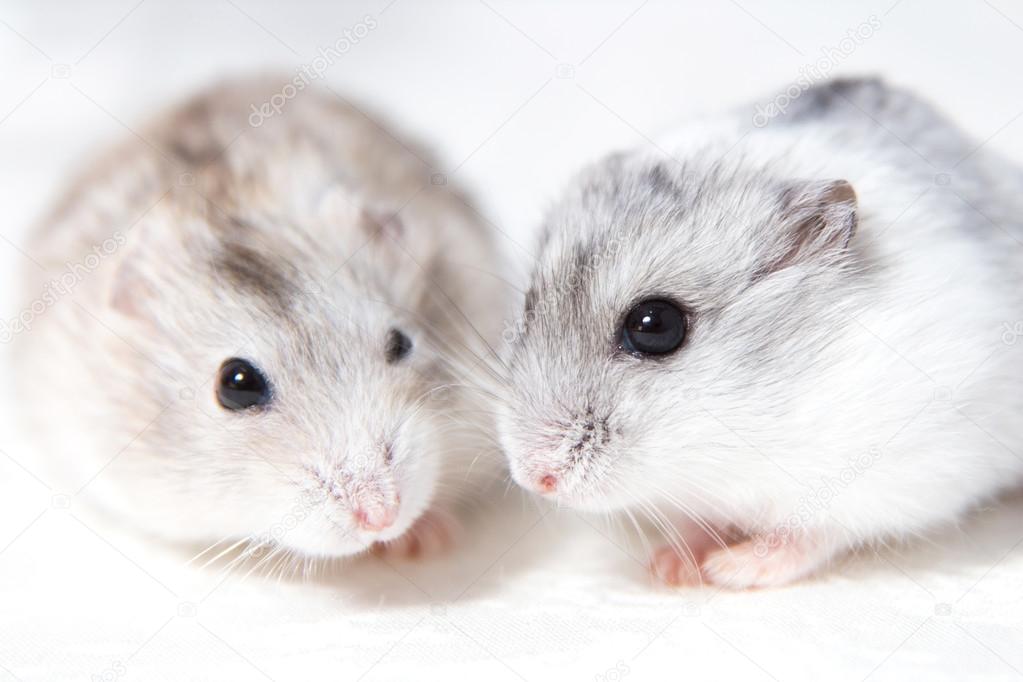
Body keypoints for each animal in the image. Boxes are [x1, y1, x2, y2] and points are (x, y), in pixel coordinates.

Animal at [496, 77, 1023, 588]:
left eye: (655, 326)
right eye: (527, 306)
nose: (534, 479)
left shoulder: (895, 470)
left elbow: (813, 534)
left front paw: (730, 570)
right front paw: (671, 567)